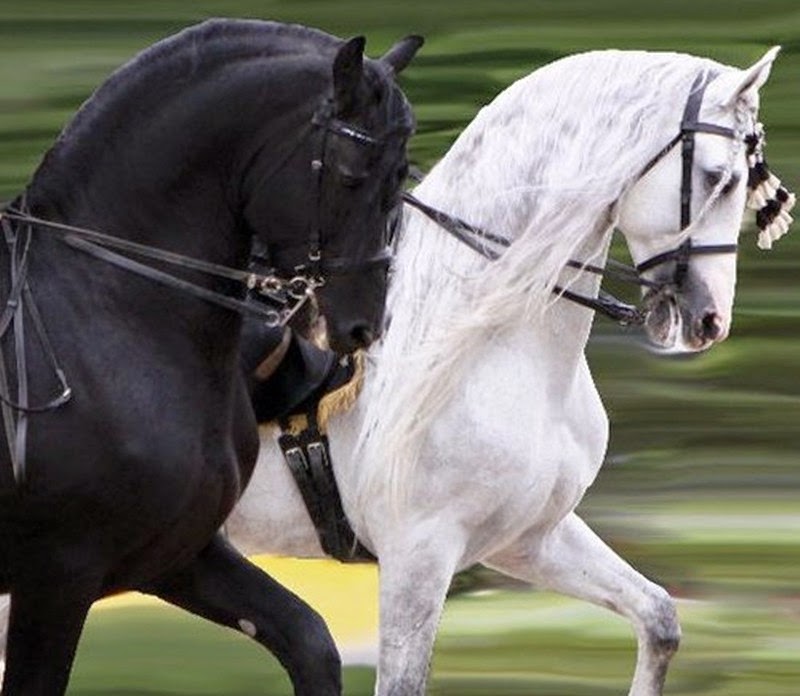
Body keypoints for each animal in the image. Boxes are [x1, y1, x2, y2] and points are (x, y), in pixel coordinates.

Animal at [0, 18, 420, 695]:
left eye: (400, 174)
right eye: (352, 174)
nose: (360, 327)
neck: (102, 311)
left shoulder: (176, 552)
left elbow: (309, 640)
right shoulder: (58, 574)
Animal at [223, 47, 791, 696]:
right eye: (717, 177)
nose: (710, 320)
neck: (481, 334)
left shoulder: (529, 539)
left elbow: (659, 618)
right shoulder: (418, 555)